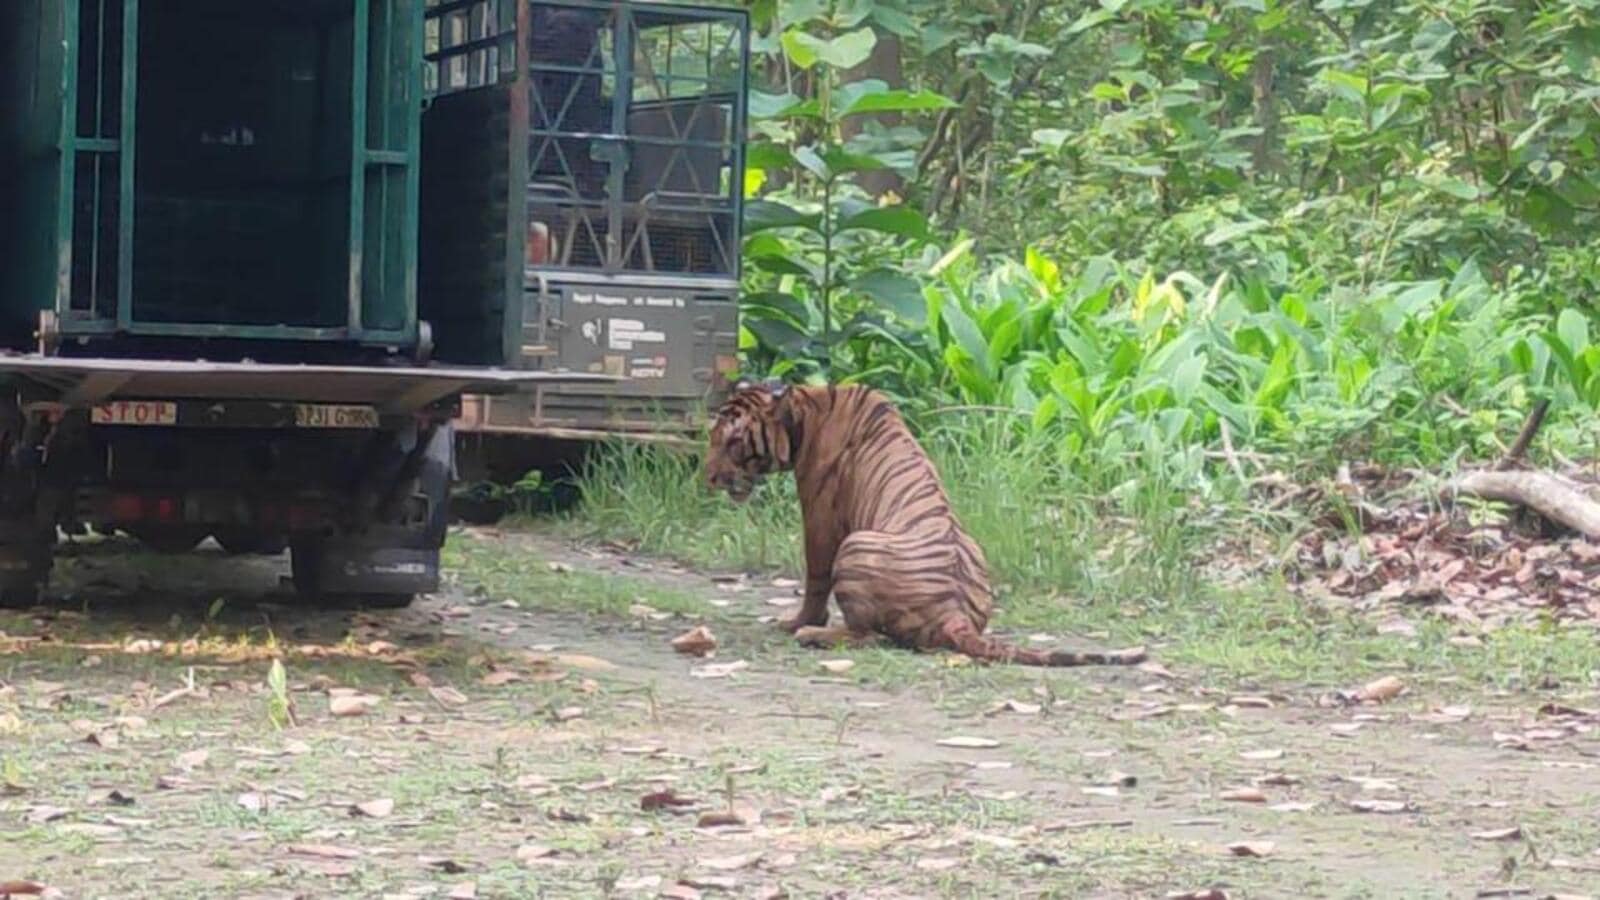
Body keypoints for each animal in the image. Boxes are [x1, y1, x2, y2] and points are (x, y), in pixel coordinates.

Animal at [704, 380, 1147, 668]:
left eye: (734, 442)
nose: (708, 477)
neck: (805, 410)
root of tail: (953, 613)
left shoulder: (820, 517)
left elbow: (815, 578)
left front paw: (797, 622)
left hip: (857, 545)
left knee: (868, 636)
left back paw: (811, 636)